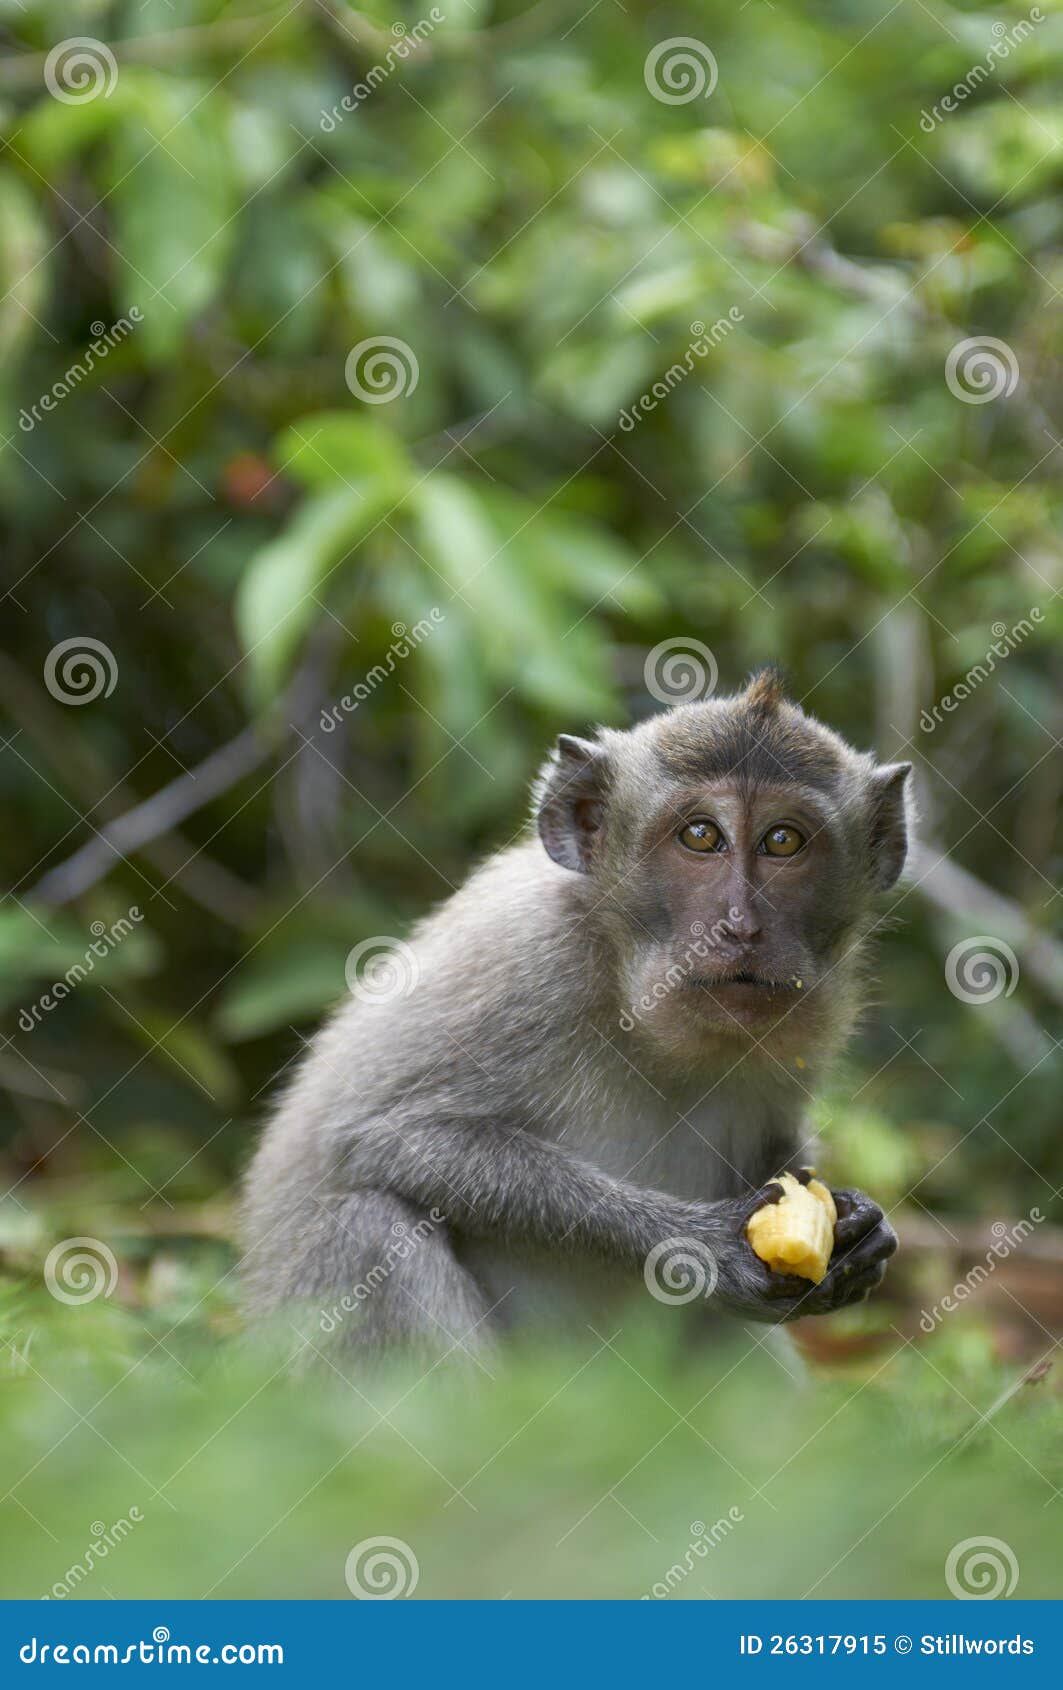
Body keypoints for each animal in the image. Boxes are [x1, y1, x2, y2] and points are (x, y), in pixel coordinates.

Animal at [240, 668, 907, 1367]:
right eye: (700, 836)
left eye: (783, 841)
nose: (741, 927)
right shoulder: (529, 961)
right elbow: (386, 1137)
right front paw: (701, 1248)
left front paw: (860, 1232)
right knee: (367, 1221)